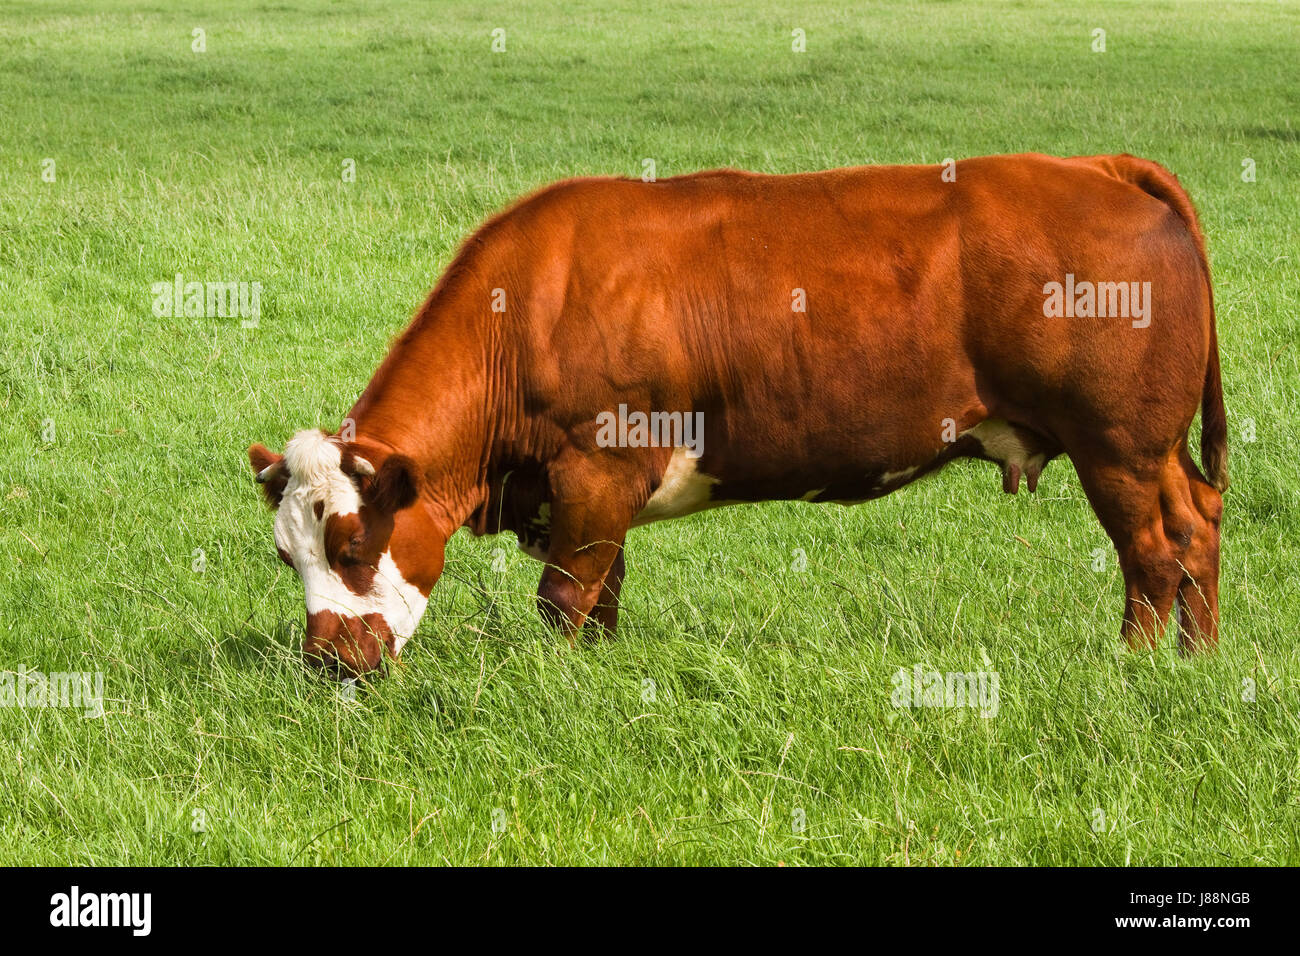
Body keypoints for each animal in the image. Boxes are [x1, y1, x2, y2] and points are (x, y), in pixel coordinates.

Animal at [248, 153, 1227, 679]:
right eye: (288, 553)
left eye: (352, 546)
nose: (327, 661)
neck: (531, 305)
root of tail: (1101, 169)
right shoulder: (587, 497)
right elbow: (604, 595)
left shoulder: (596, 469)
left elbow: (564, 600)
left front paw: (560, 688)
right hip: (1156, 451)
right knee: (1198, 526)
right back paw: (1198, 660)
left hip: (1118, 446)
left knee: (1151, 552)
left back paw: (1138, 666)